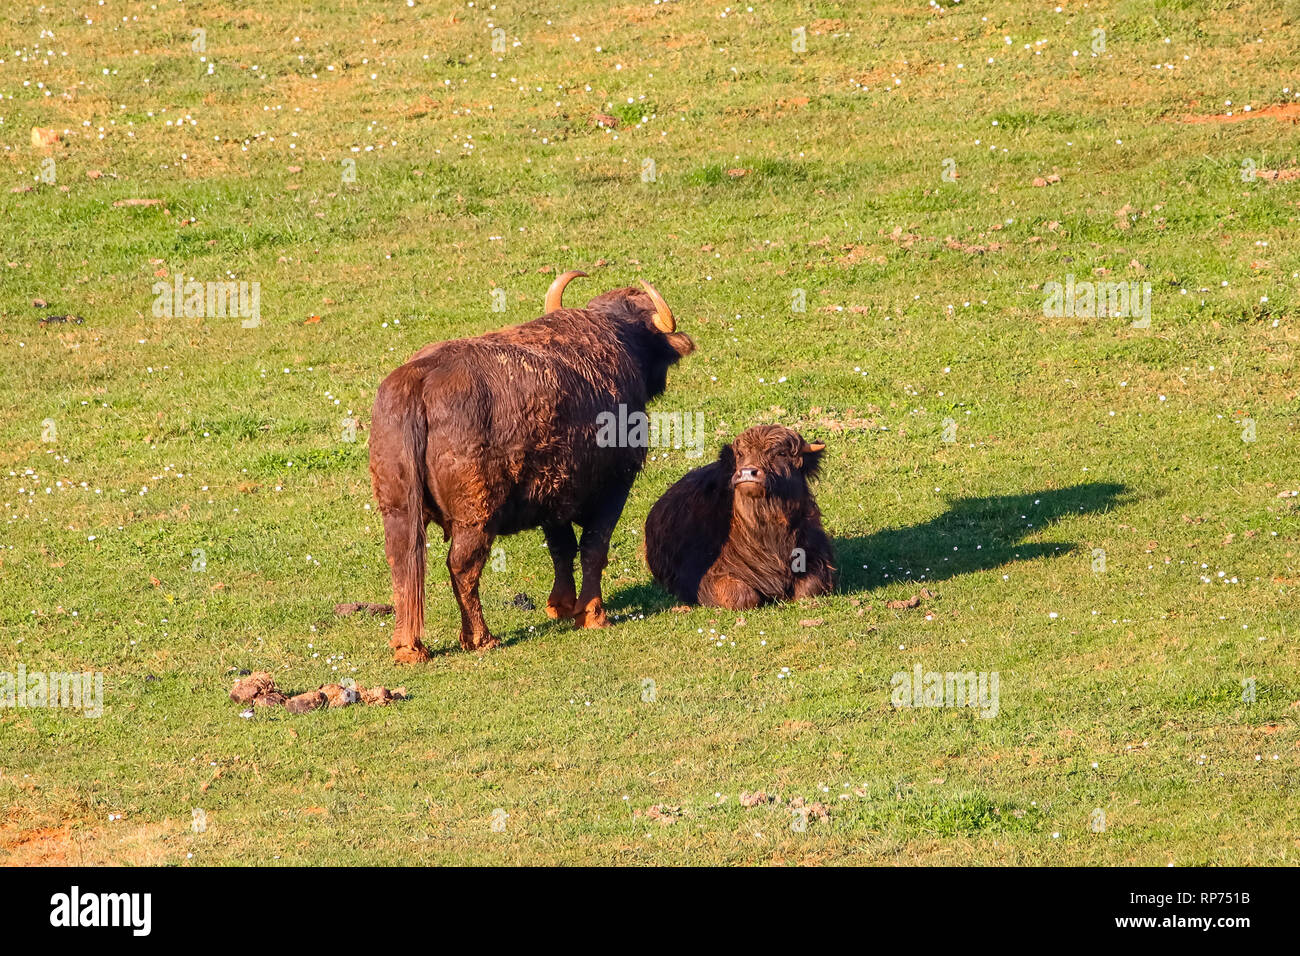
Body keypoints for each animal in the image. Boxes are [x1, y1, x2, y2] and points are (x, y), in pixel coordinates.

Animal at [369, 272, 694, 661]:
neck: (619, 340)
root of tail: (419, 381)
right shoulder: (613, 489)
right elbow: (593, 548)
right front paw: (592, 613)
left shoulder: (553, 499)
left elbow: (562, 549)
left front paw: (561, 606)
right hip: (475, 520)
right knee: (463, 567)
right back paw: (481, 638)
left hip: (399, 512)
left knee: (403, 565)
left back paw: (410, 647)